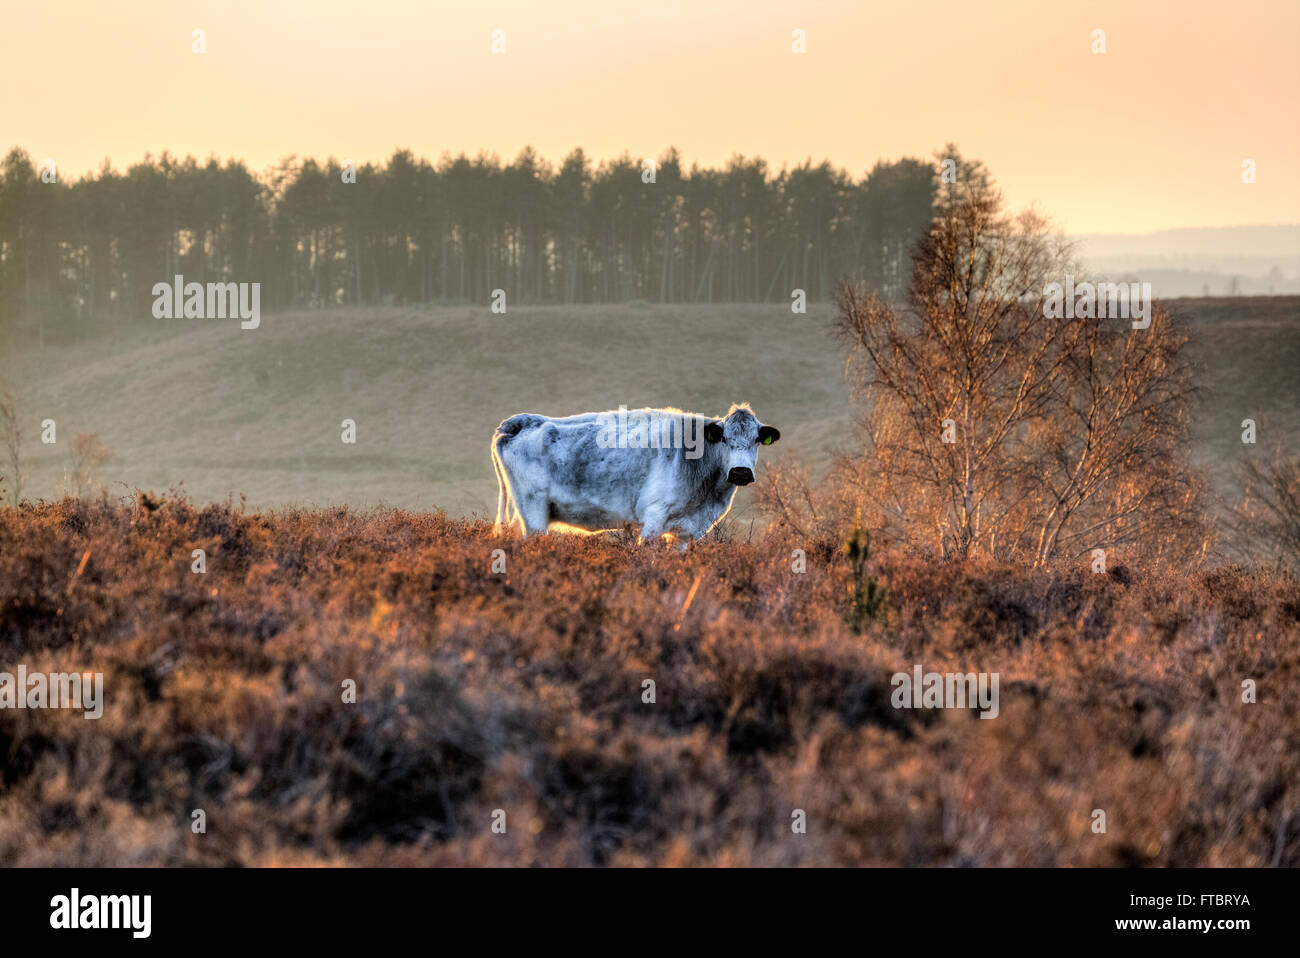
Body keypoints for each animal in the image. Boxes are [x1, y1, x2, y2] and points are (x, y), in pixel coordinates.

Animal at [491, 403, 780, 542]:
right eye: (723, 439)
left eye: (757, 440)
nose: (741, 472)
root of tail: (521, 421)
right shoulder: (654, 516)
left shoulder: (687, 532)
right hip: (534, 511)